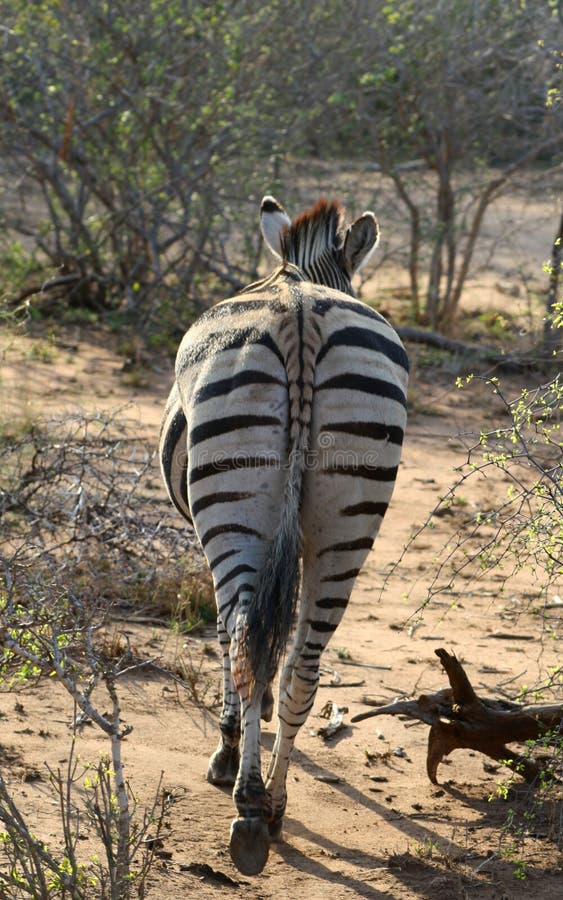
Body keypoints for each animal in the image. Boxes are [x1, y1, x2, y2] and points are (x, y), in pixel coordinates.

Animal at [159, 195, 409, 875]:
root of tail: (299, 316)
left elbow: (227, 637)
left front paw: (230, 742)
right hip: (350, 516)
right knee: (305, 666)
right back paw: (271, 804)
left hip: (231, 512)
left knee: (245, 643)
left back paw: (244, 798)